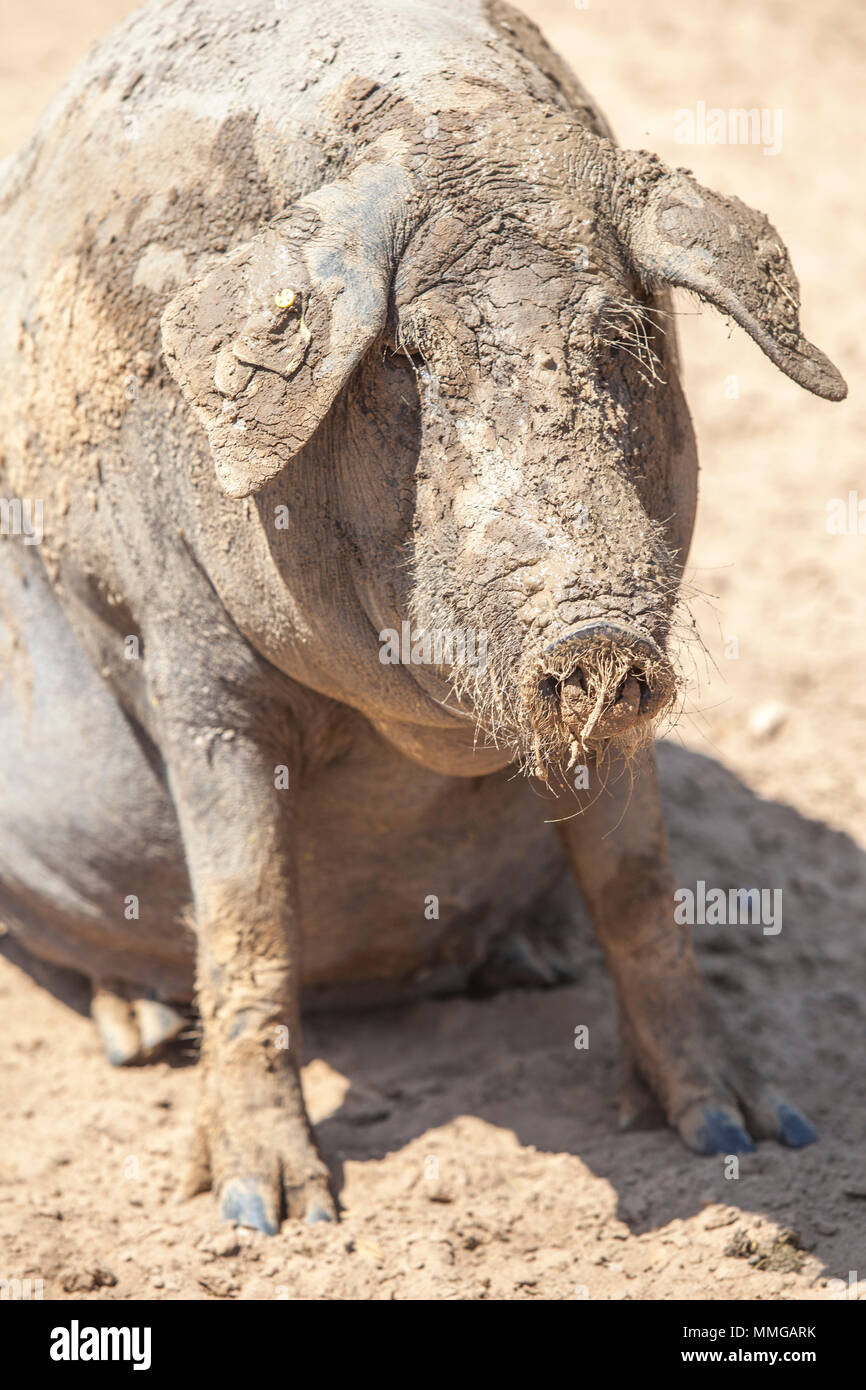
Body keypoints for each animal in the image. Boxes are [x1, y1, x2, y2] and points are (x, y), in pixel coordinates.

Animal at [0, 0, 846, 1233]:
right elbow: (249, 907)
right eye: (408, 361)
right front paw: (274, 1214)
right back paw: (140, 1031)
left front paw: (752, 1130)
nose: (595, 636)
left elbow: (639, 887)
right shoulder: (187, 652)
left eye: (616, 344)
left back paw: (529, 965)